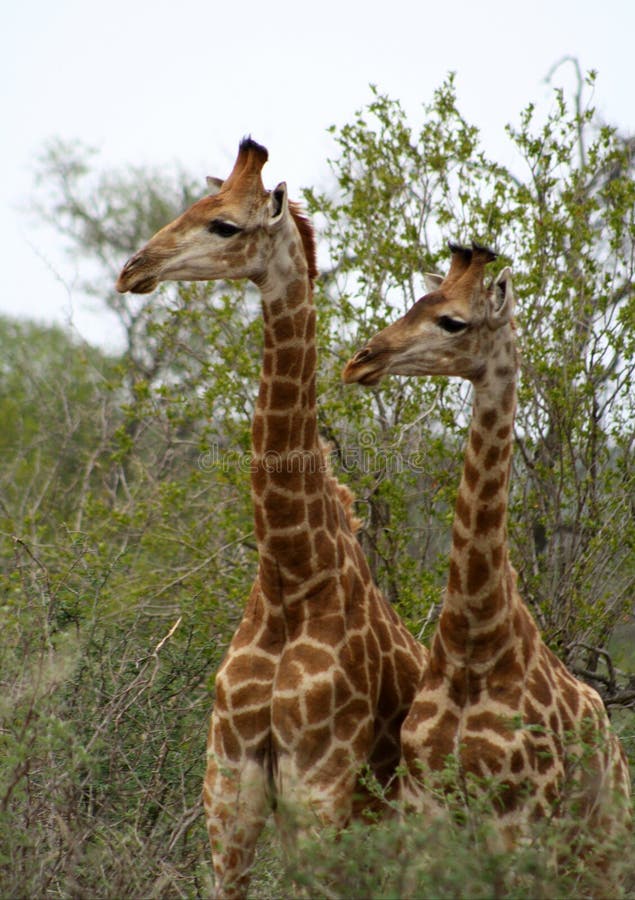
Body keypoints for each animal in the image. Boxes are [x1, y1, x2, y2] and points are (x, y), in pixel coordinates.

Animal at [116, 138, 426, 898]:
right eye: (193, 205)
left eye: (225, 225)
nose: (133, 269)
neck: (290, 575)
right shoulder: (227, 790)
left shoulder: (321, 795)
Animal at [342, 243, 631, 864]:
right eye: (415, 301)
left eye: (453, 321)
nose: (360, 361)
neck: (473, 642)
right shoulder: (424, 805)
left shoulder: (522, 819)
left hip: (601, 849)